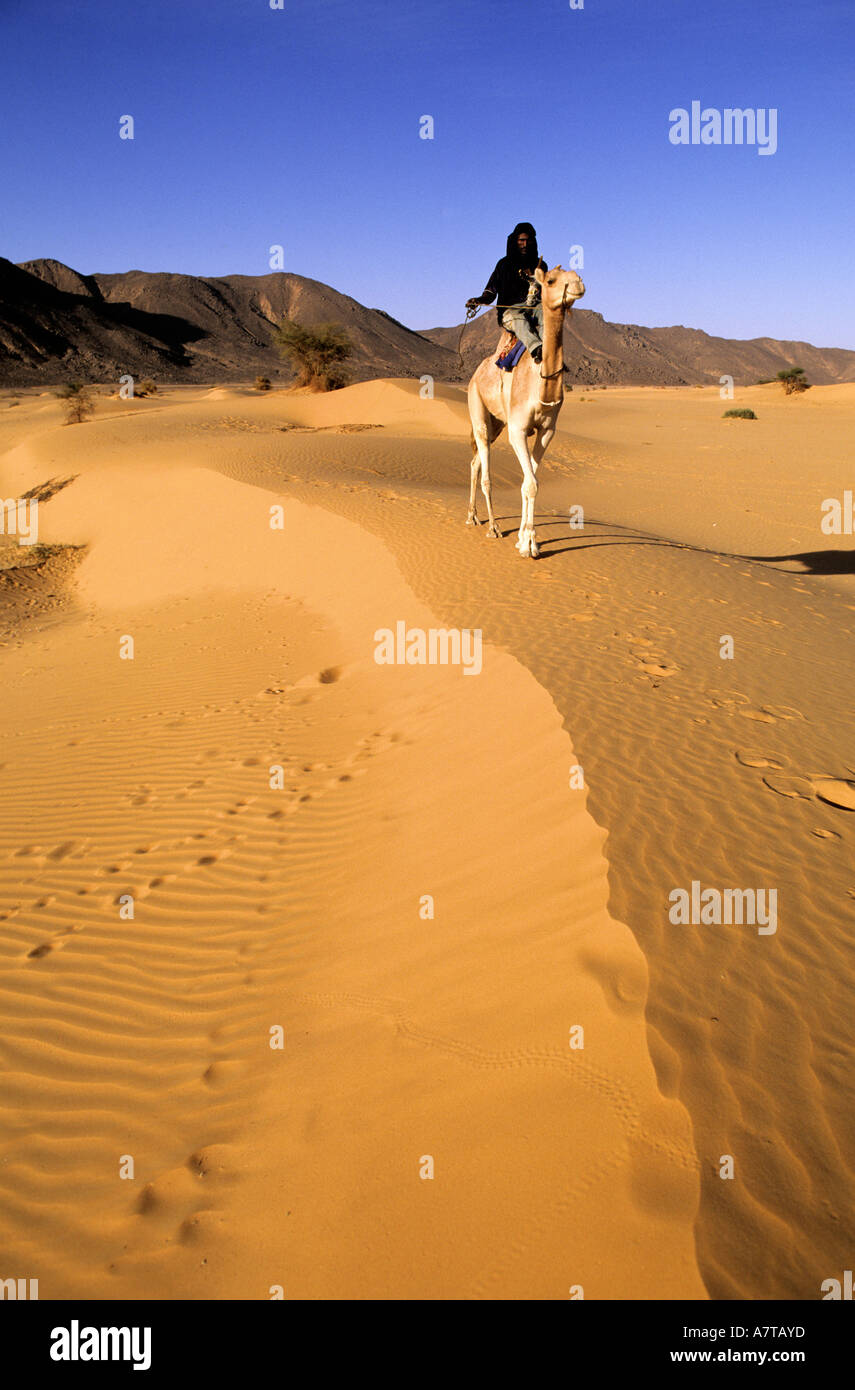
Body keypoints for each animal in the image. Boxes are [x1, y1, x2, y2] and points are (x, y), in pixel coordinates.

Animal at [466, 265, 585, 557]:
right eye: (551, 280)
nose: (578, 284)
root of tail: (475, 374)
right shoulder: (518, 429)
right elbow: (530, 483)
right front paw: (529, 543)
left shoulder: (546, 431)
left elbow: (527, 482)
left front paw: (524, 538)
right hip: (477, 408)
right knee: (484, 470)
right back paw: (493, 527)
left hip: (498, 423)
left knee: (475, 462)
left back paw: (473, 516)